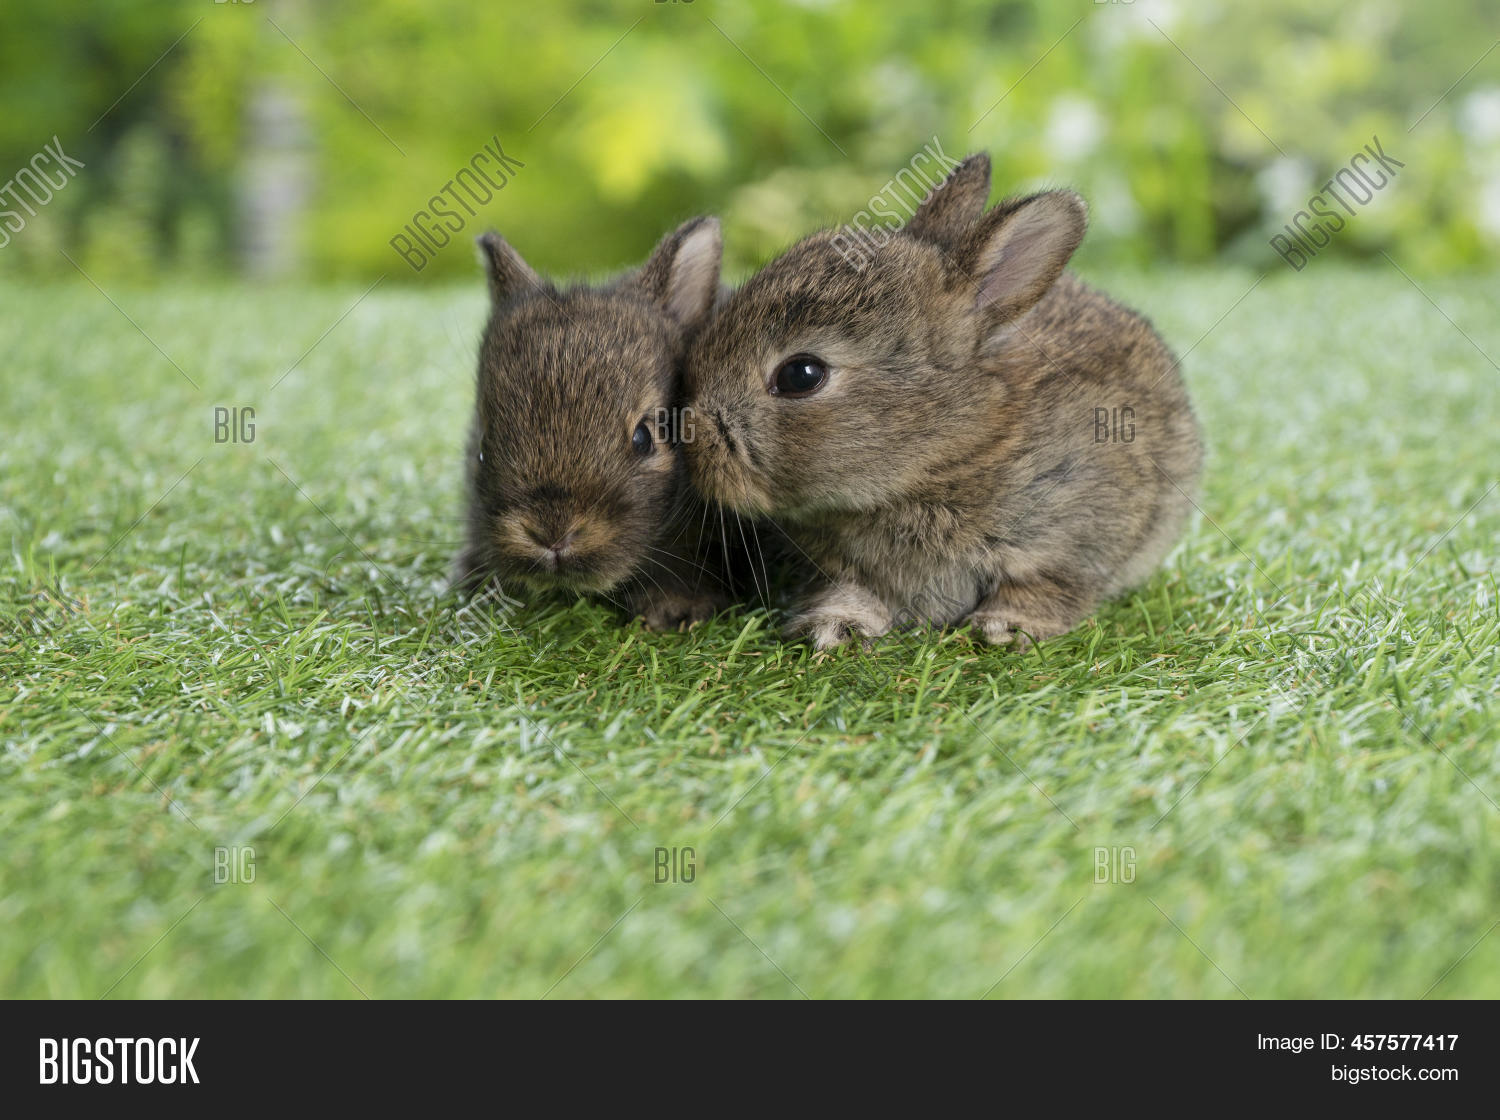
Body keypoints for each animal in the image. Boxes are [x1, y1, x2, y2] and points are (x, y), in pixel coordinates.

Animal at [681, 154, 1203, 650]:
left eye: (801, 375)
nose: (695, 448)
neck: (945, 453)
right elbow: (849, 590)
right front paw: (835, 626)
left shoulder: (1075, 534)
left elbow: (1045, 584)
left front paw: (1007, 627)